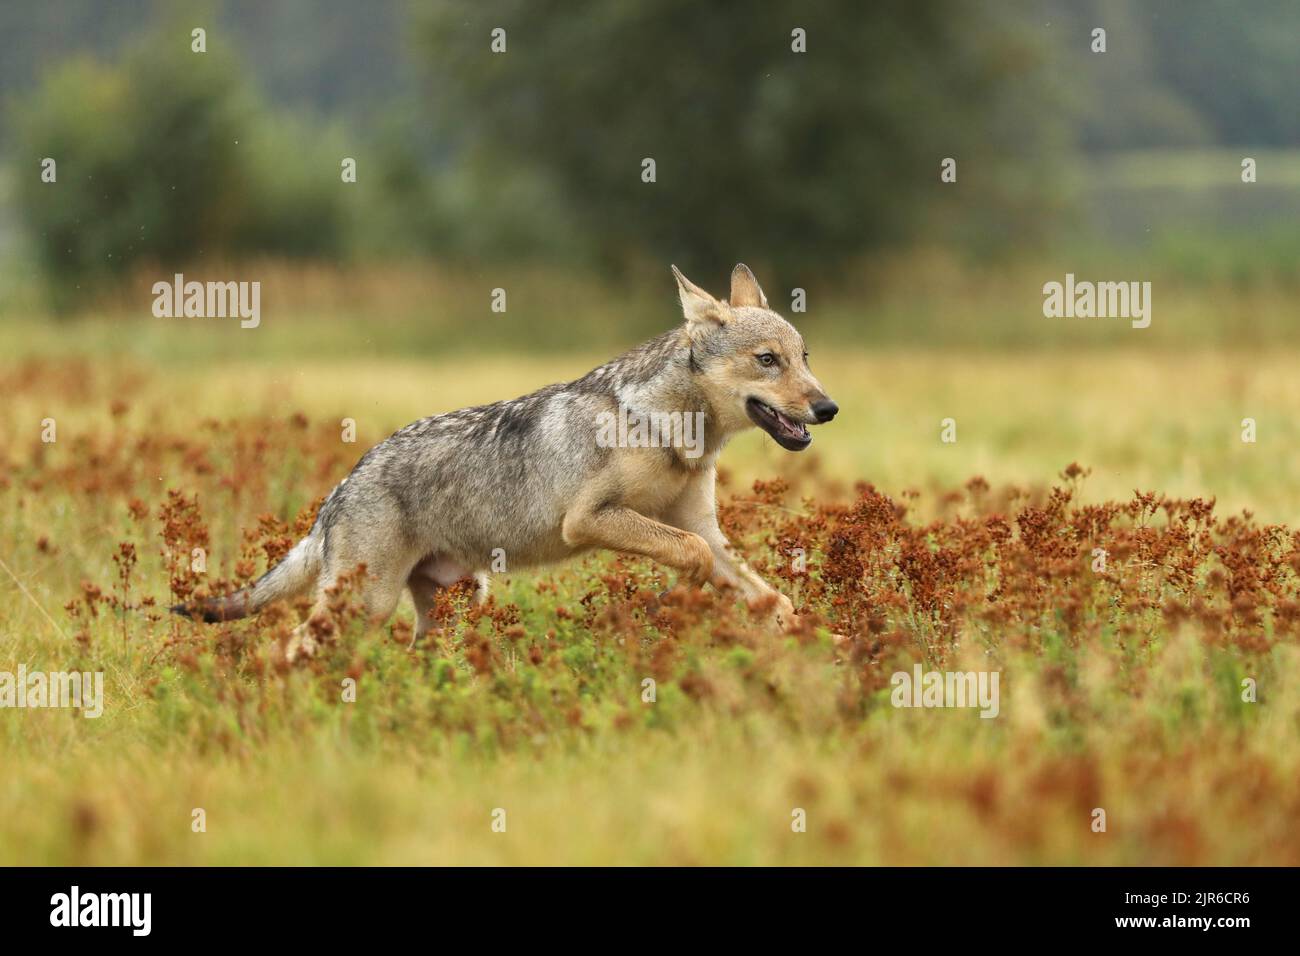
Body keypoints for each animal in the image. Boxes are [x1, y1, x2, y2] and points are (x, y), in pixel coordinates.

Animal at [173, 264, 838, 660]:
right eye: (768, 361)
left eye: (805, 357)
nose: (828, 407)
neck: (671, 430)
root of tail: (337, 491)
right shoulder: (590, 520)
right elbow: (691, 555)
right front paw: (676, 601)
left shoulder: (706, 528)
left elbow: (774, 600)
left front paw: (828, 642)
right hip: (367, 605)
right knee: (290, 645)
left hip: (456, 603)